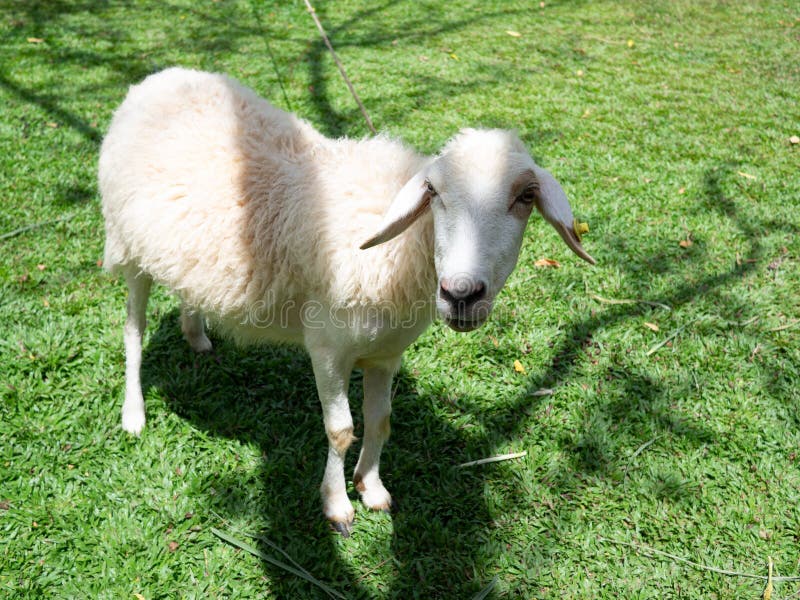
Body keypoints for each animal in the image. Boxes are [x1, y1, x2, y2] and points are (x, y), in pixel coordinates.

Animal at [99, 67, 595, 536]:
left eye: (526, 197)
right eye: (433, 193)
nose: (460, 294)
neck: (395, 251)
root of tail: (161, 78)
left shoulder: (386, 353)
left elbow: (380, 421)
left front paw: (370, 487)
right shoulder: (327, 348)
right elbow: (341, 431)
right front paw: (337, 505)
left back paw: (197, 334)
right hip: (128, 247)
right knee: (133, 331)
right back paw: (133, 413)